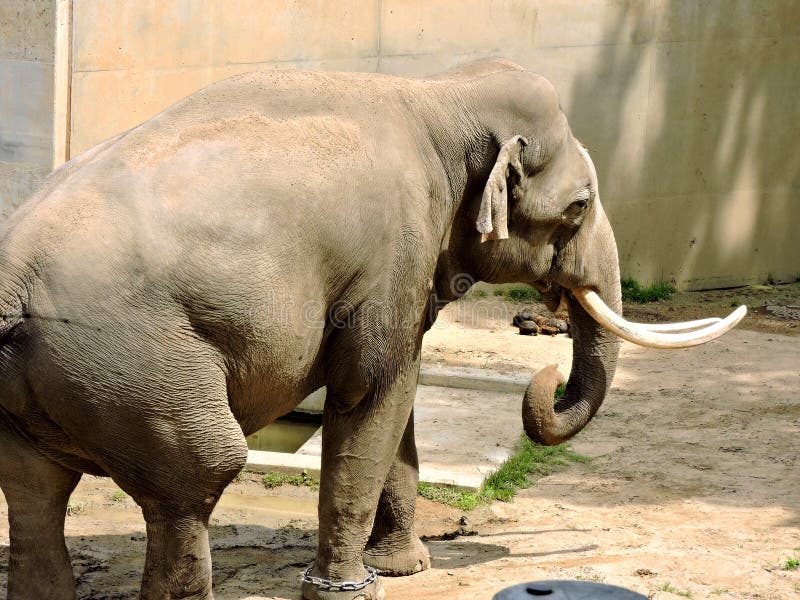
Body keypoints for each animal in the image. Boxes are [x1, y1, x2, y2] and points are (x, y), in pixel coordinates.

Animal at [0, 58, 744, 599]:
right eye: (581, 205)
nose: (545, 369)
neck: (441, 94)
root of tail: (13, 277)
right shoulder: (395, 254)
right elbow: (372, 392)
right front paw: (351, 589)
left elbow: (397, 410)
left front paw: (402, 568)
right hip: (133, 364)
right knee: (195, 480)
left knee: (35, 496)